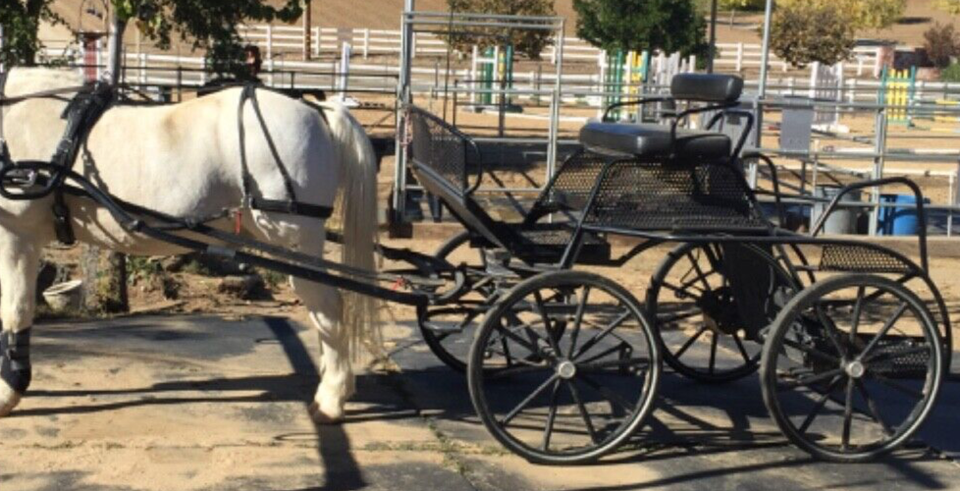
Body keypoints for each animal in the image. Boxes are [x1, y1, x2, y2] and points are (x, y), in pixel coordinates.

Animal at [0, 67, 380, 423]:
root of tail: (315, 109)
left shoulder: (16, 234)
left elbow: (15, 308)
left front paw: (9, 391)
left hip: (294, 241)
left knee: (327, 307)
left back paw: (331, 399)